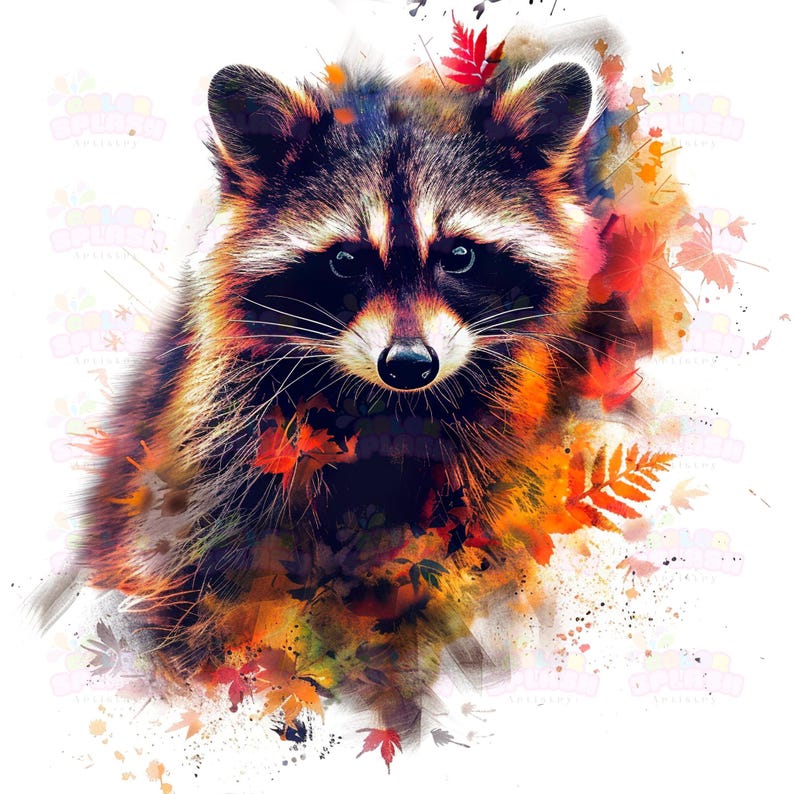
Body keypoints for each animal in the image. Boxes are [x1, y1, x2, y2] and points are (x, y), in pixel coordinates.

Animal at [61, 47, 646, 734]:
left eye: (459, 256)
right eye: (344, 261)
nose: (410, 364)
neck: (388, 408)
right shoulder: (224, 443)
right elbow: (198, 558)